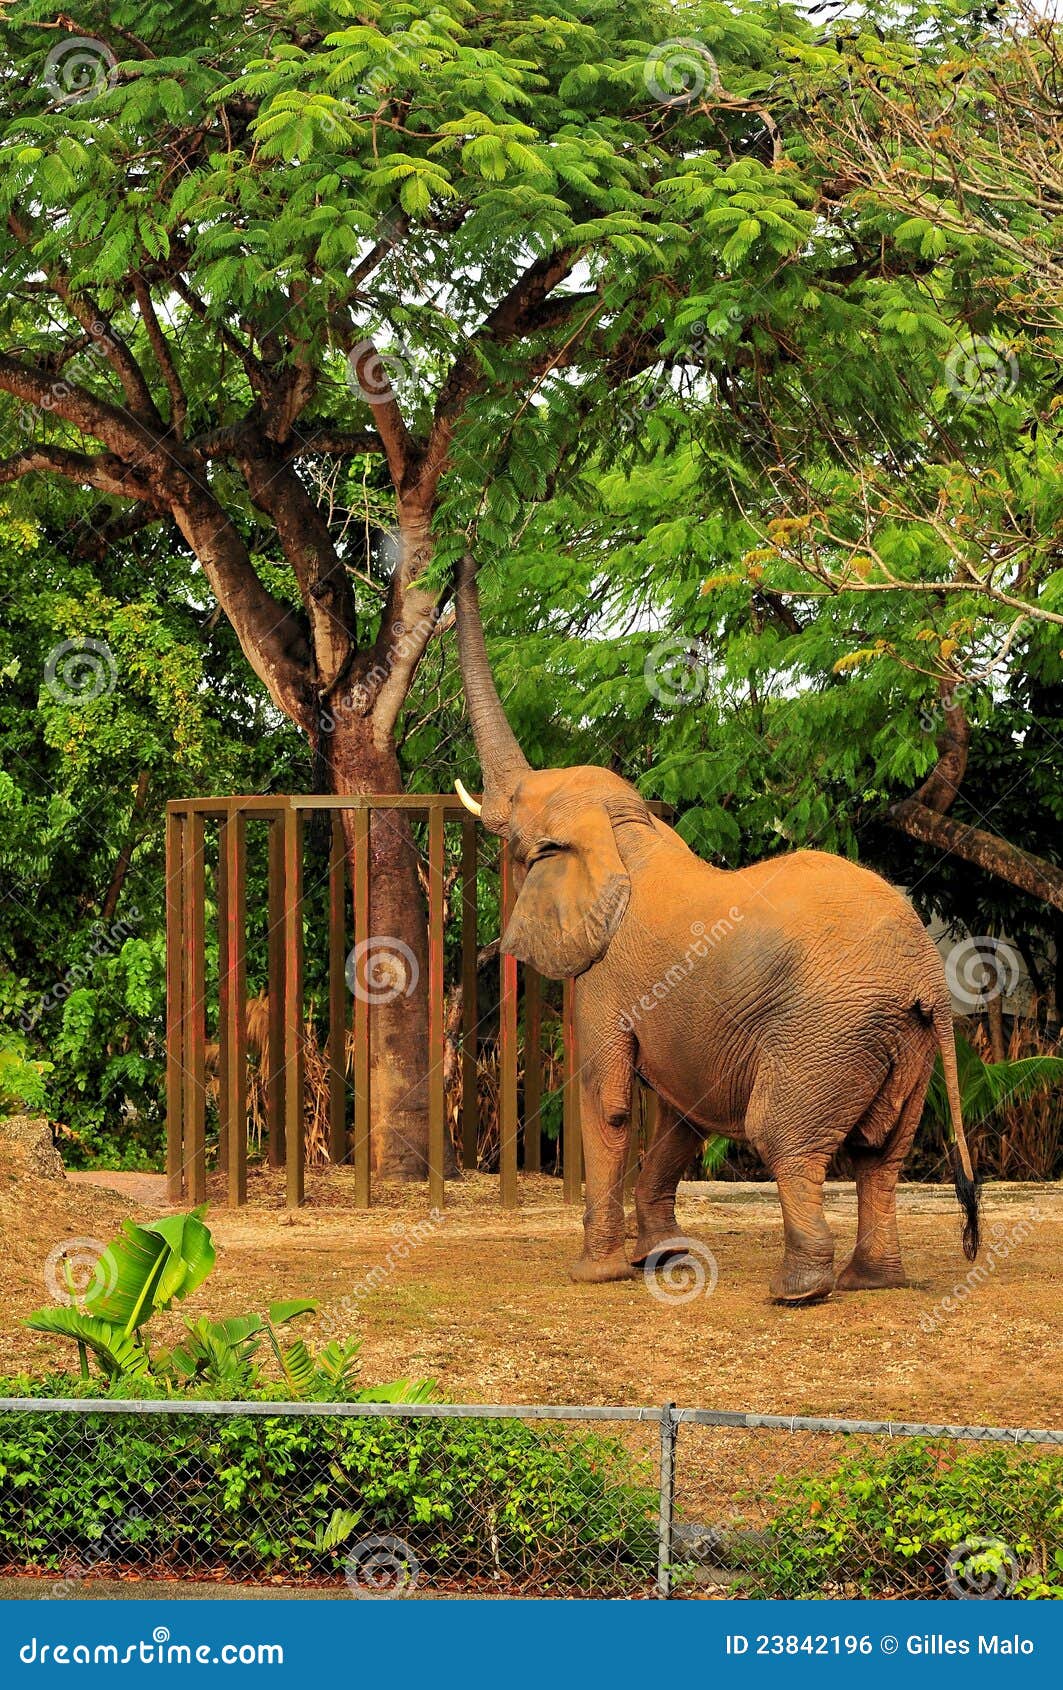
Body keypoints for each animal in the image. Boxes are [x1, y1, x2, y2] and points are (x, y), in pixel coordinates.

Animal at [450, 553, 980, 1302]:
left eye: (521, 826)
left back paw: (797, 1291)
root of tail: (926, 975)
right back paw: (869, 1282)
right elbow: (683, 1117)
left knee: (784, 1137)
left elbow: (609, 1104)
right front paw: (660, 1259)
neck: (628, 832)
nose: (461, 553)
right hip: (909, 1043)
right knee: (881, 1154)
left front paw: (594, 1275)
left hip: (827, 1031)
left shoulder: (606, 981)